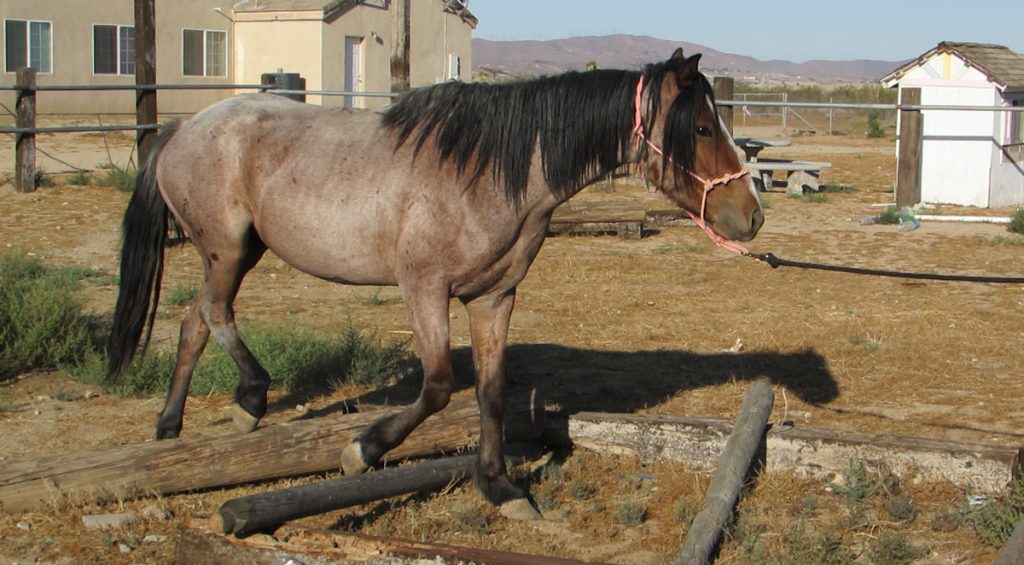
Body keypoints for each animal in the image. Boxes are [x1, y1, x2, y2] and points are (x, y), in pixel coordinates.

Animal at [106, 49, 763, 519]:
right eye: (701, 128)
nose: (752, 216)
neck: (488, 171)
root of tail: (182, 127)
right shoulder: (423, 289)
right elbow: (441, 385)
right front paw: (361, 451)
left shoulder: (493, 298)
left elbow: (491, 391)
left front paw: (499, 488)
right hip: (226, 250)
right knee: (215, 316)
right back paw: (250, 399)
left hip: (239, 253)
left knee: (194, 323)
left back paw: (171, 428)